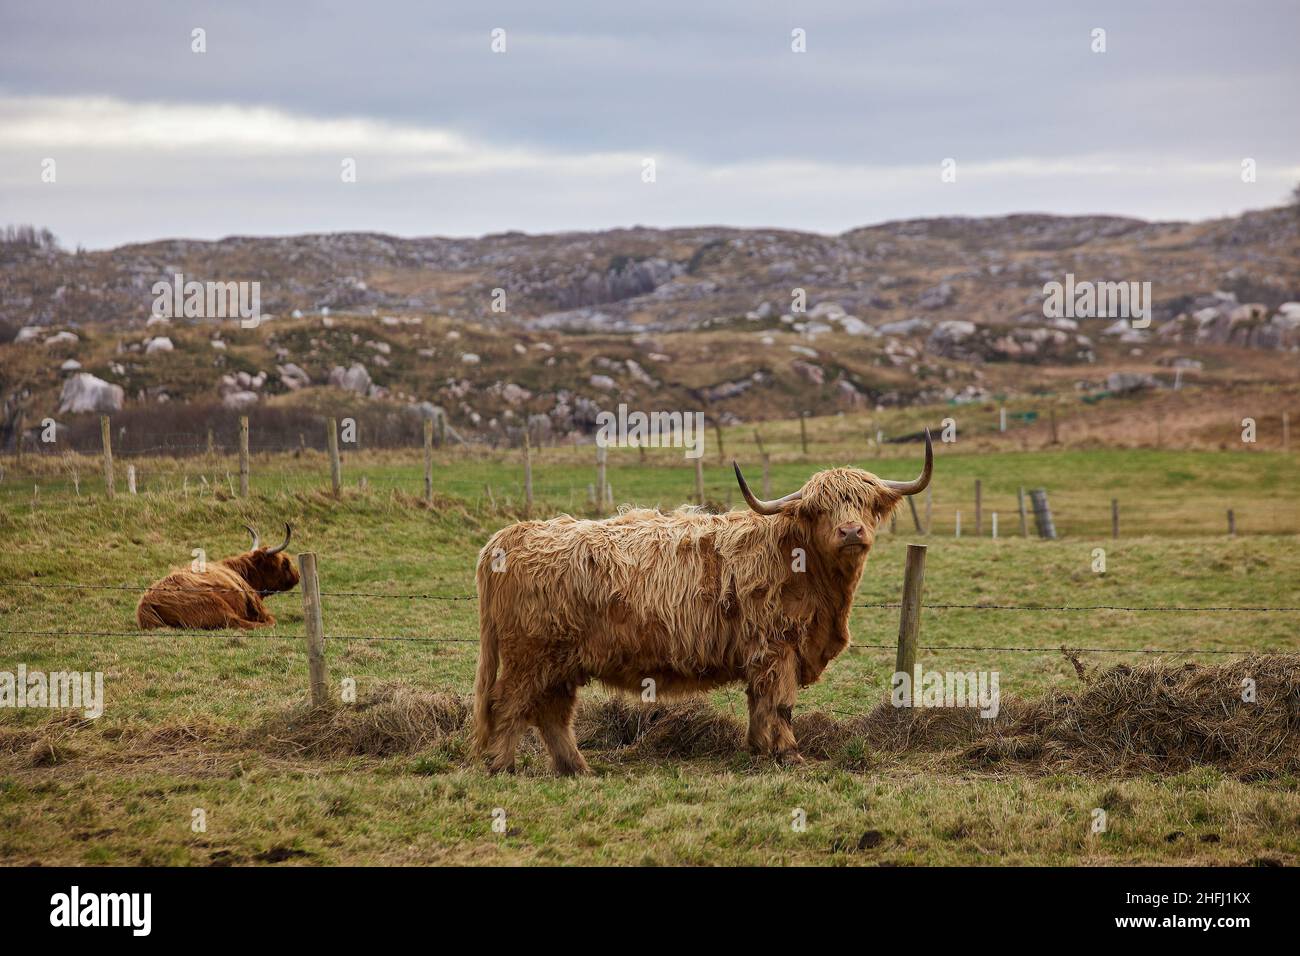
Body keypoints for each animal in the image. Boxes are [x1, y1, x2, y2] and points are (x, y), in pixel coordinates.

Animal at [473, 431, 933, 775]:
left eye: (866, 503)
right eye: (820, 509)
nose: (851, 531)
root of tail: (511, 535)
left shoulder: (761, 654)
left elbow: (758, 703)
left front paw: (757, 750)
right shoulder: (778, 647)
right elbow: (781, 705)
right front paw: (789, 754)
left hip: (560, 662)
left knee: (552, 712)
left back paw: (576, 768)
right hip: (530, 655)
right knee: (509, 704)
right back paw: (502, 765)